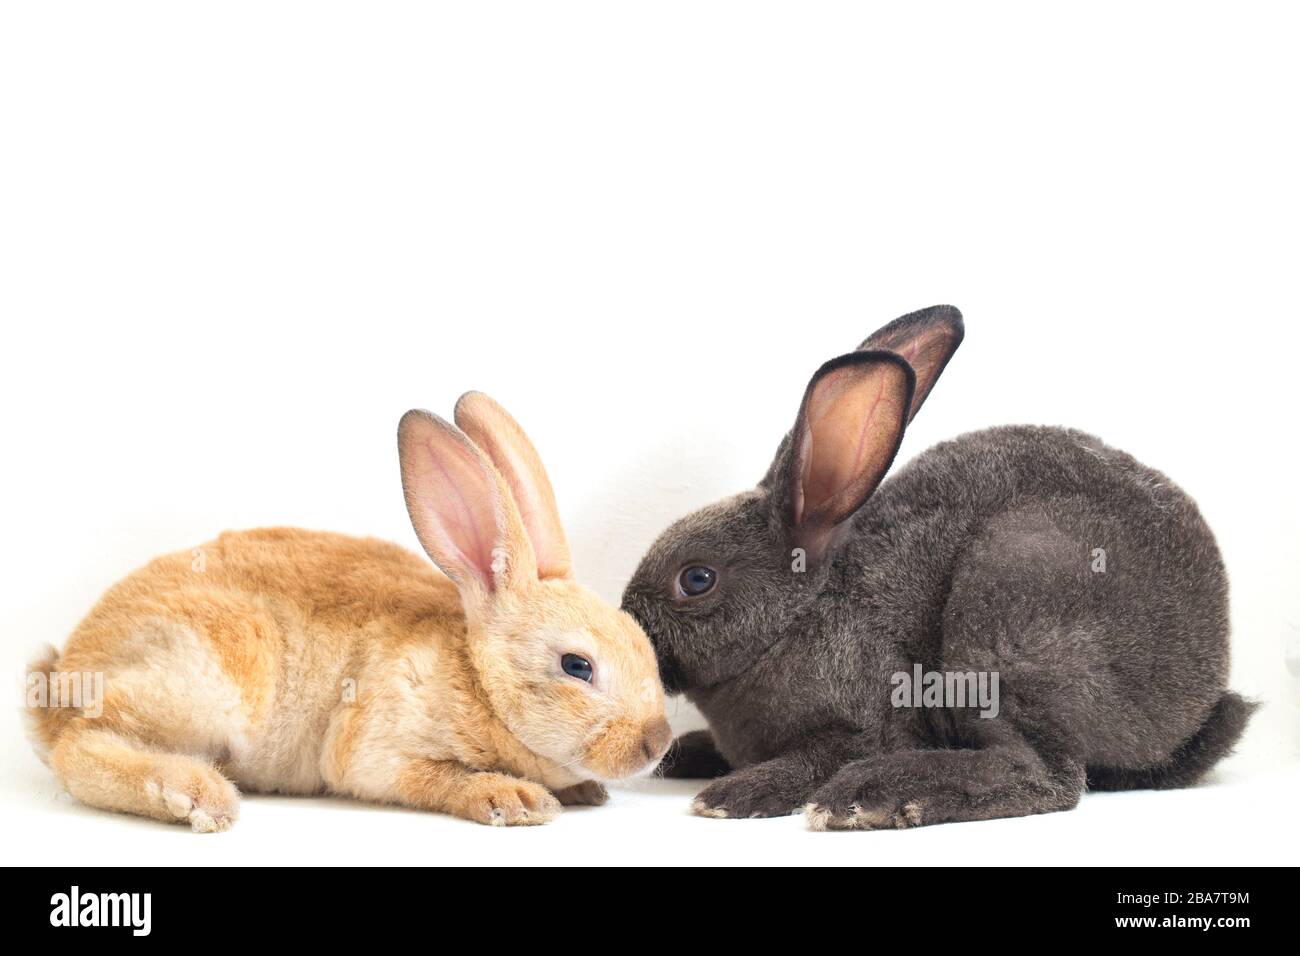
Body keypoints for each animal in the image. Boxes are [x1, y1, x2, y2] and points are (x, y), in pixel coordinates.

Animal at [26, 392, 672, 830]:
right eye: (577, 667)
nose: (658, 742)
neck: (478, 681)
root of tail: (60, 682)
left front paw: (584, 793)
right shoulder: (379, 752)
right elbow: (433, 777)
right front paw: (512, 799)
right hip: (210, 681)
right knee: (80, 748)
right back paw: (195, 796)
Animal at [621, 305, 1255, 829]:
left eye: (696, 579)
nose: (631, 624)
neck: (797, 620)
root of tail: (1200, 699)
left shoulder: (866, 725)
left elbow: (818, 757)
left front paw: (733, 795)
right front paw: (684, 755)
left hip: (1005, 620)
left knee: (1042, 773)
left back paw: (870, 798)